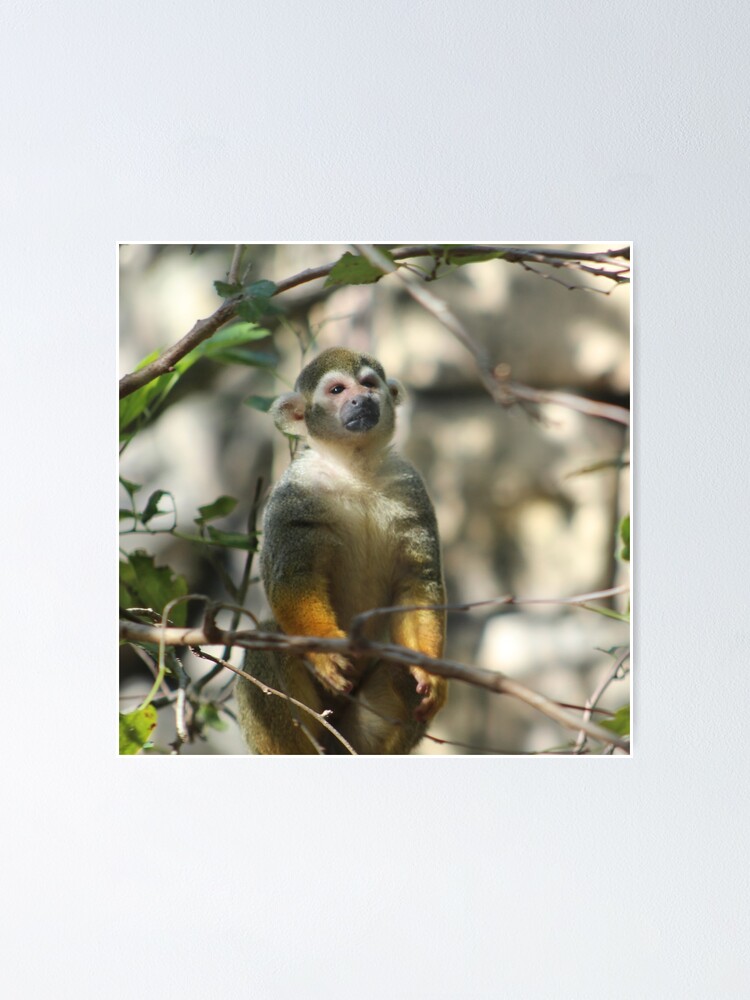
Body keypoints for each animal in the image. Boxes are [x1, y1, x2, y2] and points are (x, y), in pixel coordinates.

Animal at [235, 347, 447, 754]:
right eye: (337, 390)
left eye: (368, 384)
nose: (361, 400)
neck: (354, 467)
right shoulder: (295, 491)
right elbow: (293, 577)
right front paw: (326, 650)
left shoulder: (410, 487)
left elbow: (416, 580)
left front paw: (430, 671)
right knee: (267, 639)